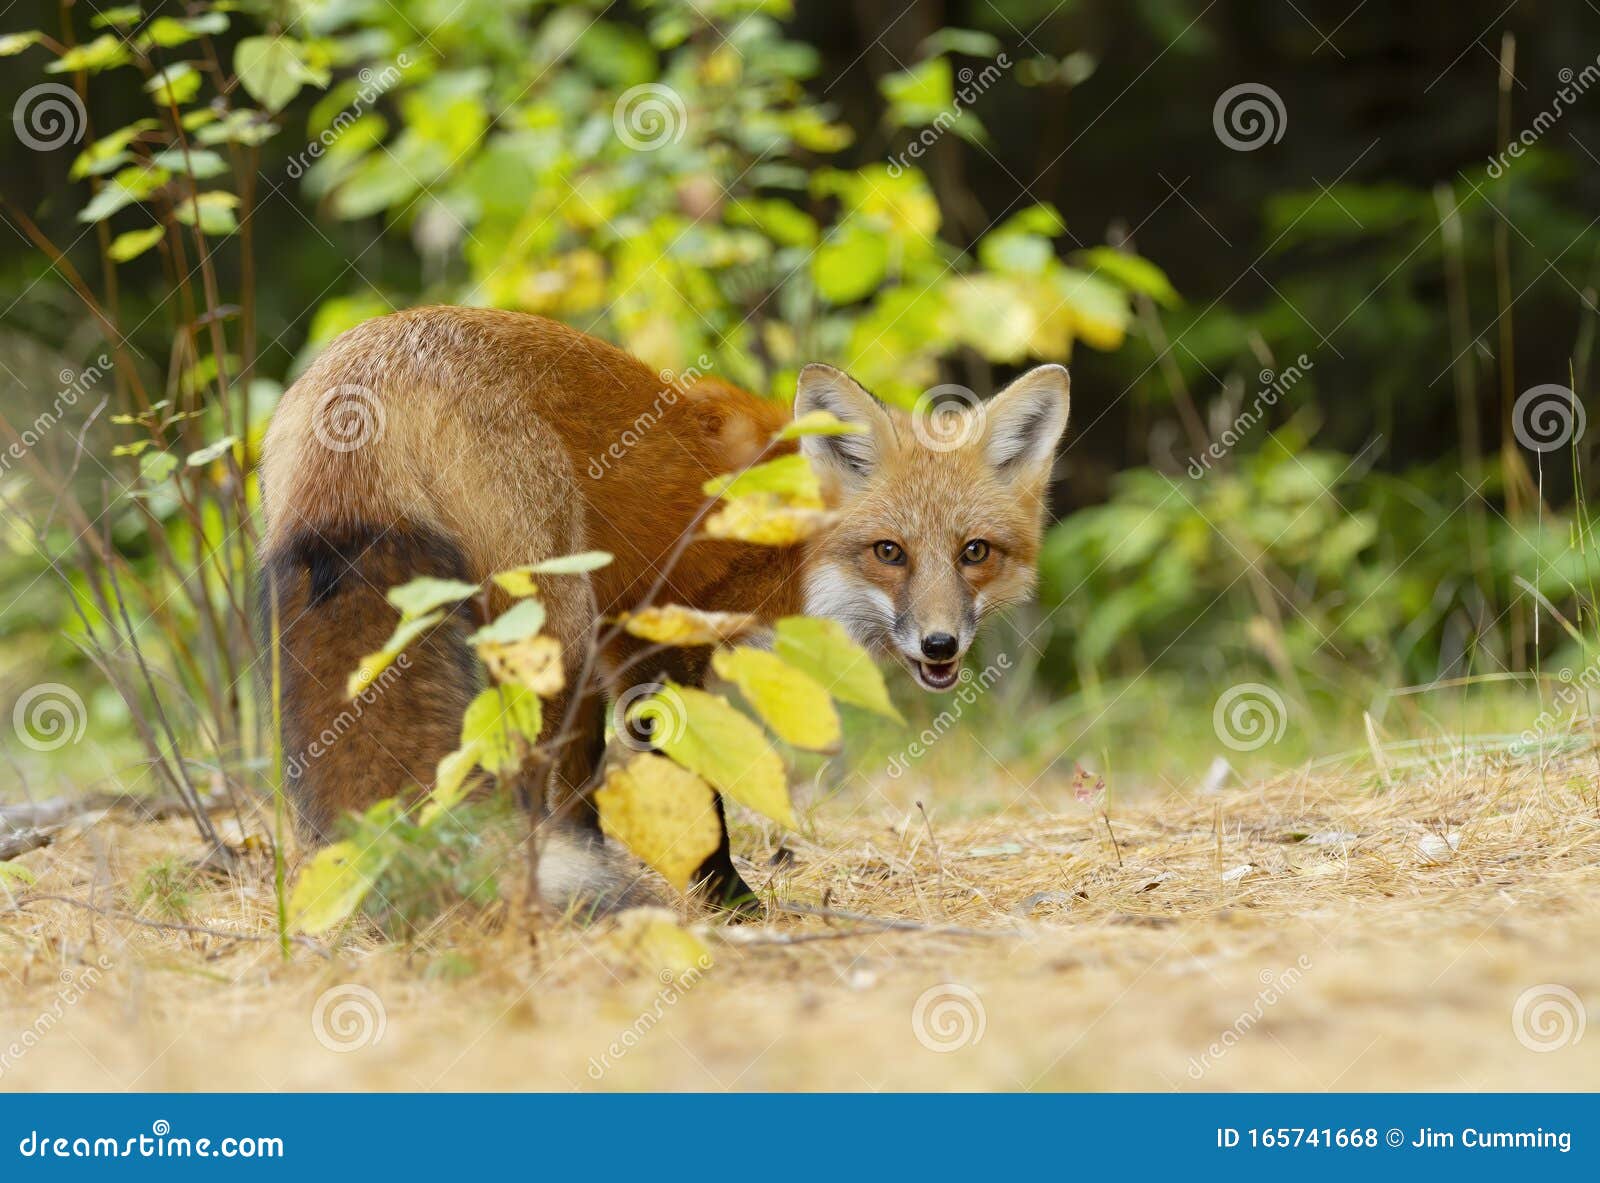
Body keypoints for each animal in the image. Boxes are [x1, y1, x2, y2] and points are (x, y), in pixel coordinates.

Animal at [259, 305, 1069, 913]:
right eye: (889, 552)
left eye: (975, 552)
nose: (940, 645)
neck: (781, 531)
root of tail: (364, 372)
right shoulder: (657, 639)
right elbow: (694, 796)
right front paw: (728, 900)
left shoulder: (611, 650)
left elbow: (580, 794)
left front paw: (605, 881)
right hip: (551, 628)